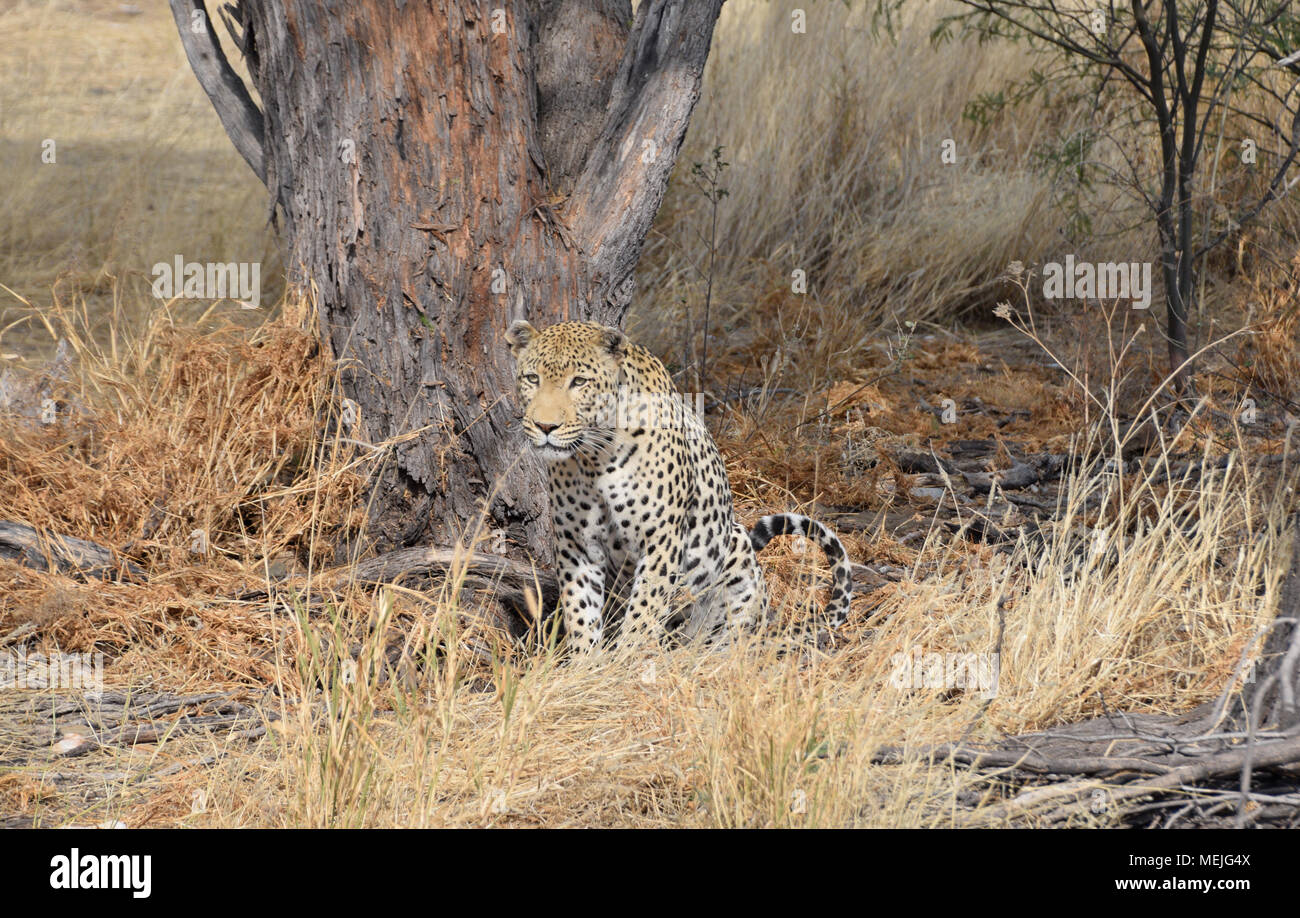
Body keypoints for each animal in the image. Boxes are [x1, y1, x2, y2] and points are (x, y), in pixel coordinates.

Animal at [505, 319, 853, 652]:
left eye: (579, 382)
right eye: (532, 378)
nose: (545, 426)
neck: (595, 458)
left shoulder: (661, 540)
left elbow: (643, 613)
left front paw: (625, 662)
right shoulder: (577, 546)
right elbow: (581, 613)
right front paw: (585, 665)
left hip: (737, 550)